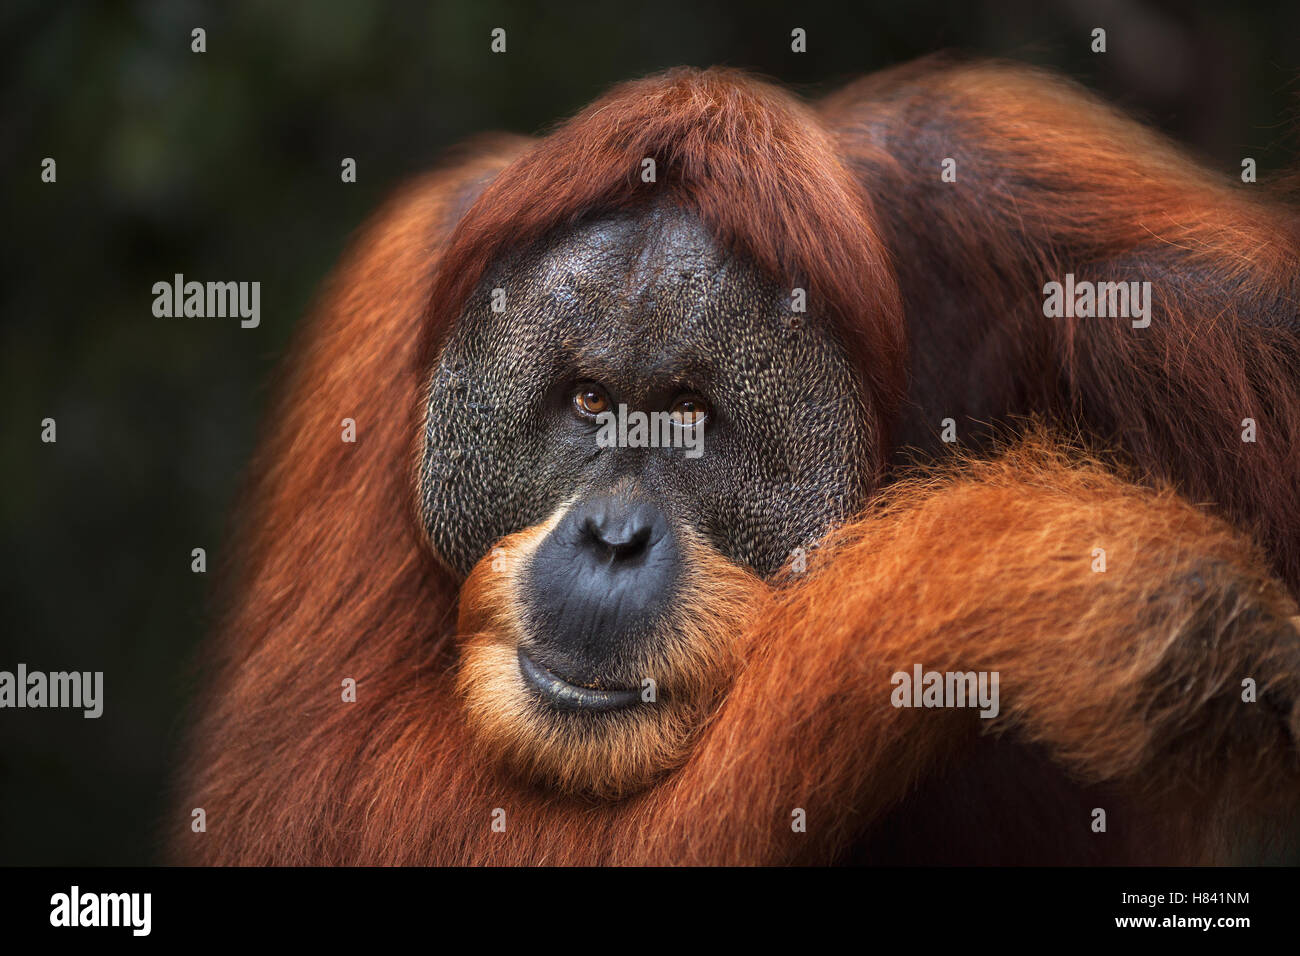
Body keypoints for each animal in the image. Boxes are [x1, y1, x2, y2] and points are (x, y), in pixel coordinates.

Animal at [173, 59, 1300, 865]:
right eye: (589, 399)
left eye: (688, 414)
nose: (612, 538)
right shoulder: (395, 296)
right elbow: (302, 797)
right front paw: (1064, 590)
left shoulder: (1069, 220)